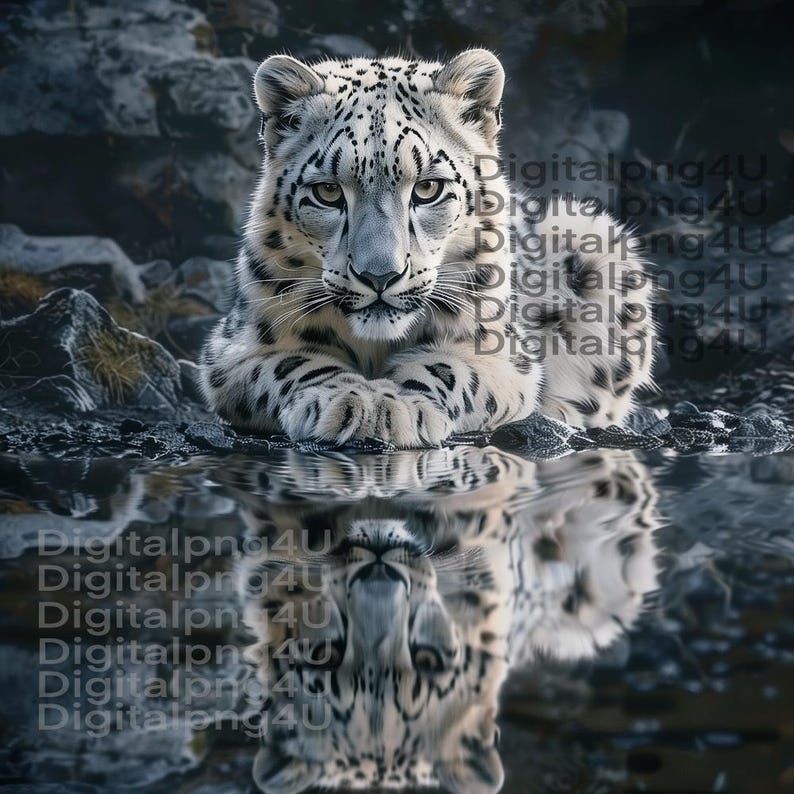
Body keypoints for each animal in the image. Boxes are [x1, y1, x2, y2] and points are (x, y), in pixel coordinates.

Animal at [199, 49, 655, 446]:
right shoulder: (240, 347)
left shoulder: (497, 347)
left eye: (428, 188)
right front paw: (348, 400)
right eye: (328, 192)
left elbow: (449, 367)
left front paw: (393, 406)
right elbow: (294, 363)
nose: (379, 276)